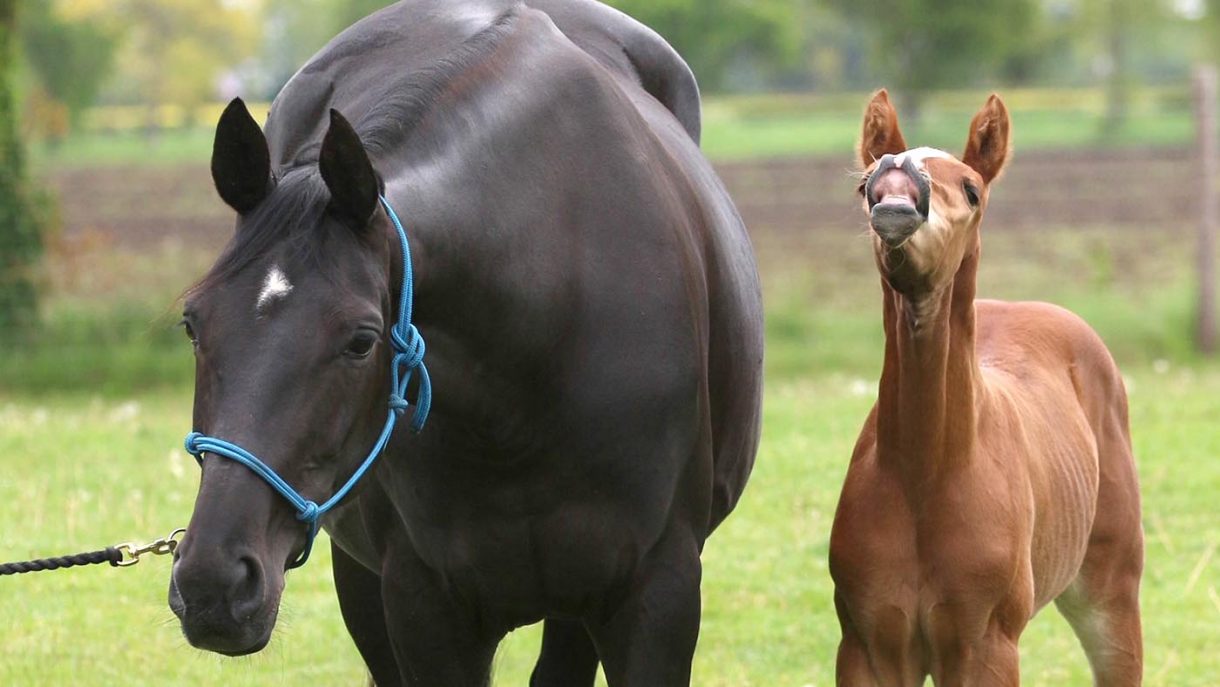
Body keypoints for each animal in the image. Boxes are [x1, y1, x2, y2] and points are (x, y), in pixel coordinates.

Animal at [828, 90, 1143, 686]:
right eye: (865, 187)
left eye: (971, 189)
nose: (897, 193)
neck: (926, 475)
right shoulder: (867, 646)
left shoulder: (985, 647)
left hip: (1111, 593)